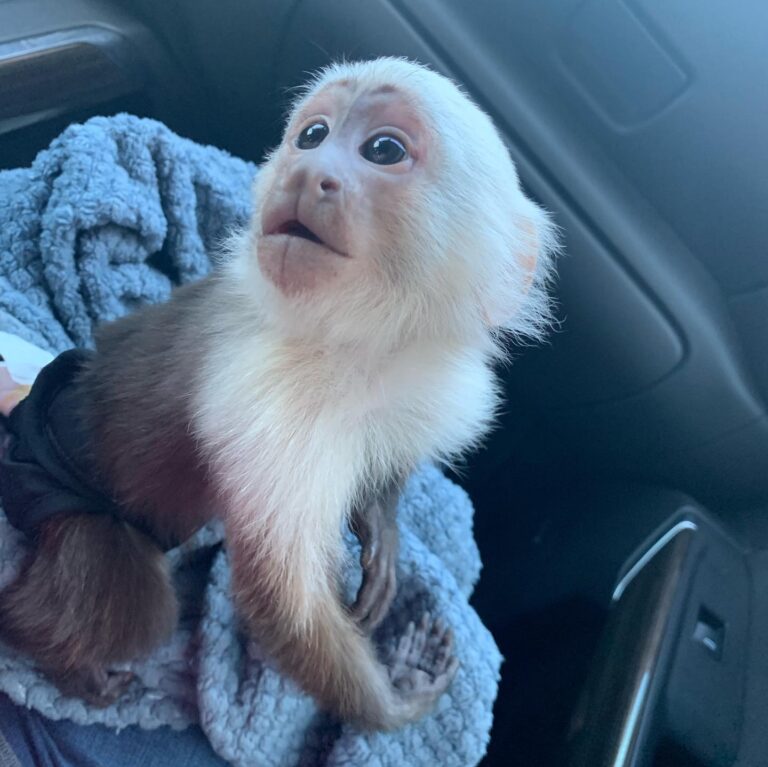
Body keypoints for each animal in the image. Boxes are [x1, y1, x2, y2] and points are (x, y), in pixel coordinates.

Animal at [0, 58, 556, 730]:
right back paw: (57, 653)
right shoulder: (269, 395)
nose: (306, 172)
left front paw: (381, 530)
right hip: (55, 492)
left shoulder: (437, 384)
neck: (362, 345)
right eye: (313, 136)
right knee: (134, 600)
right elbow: (281, 603)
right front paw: (399, 695)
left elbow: (390, 455)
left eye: (384, 150)